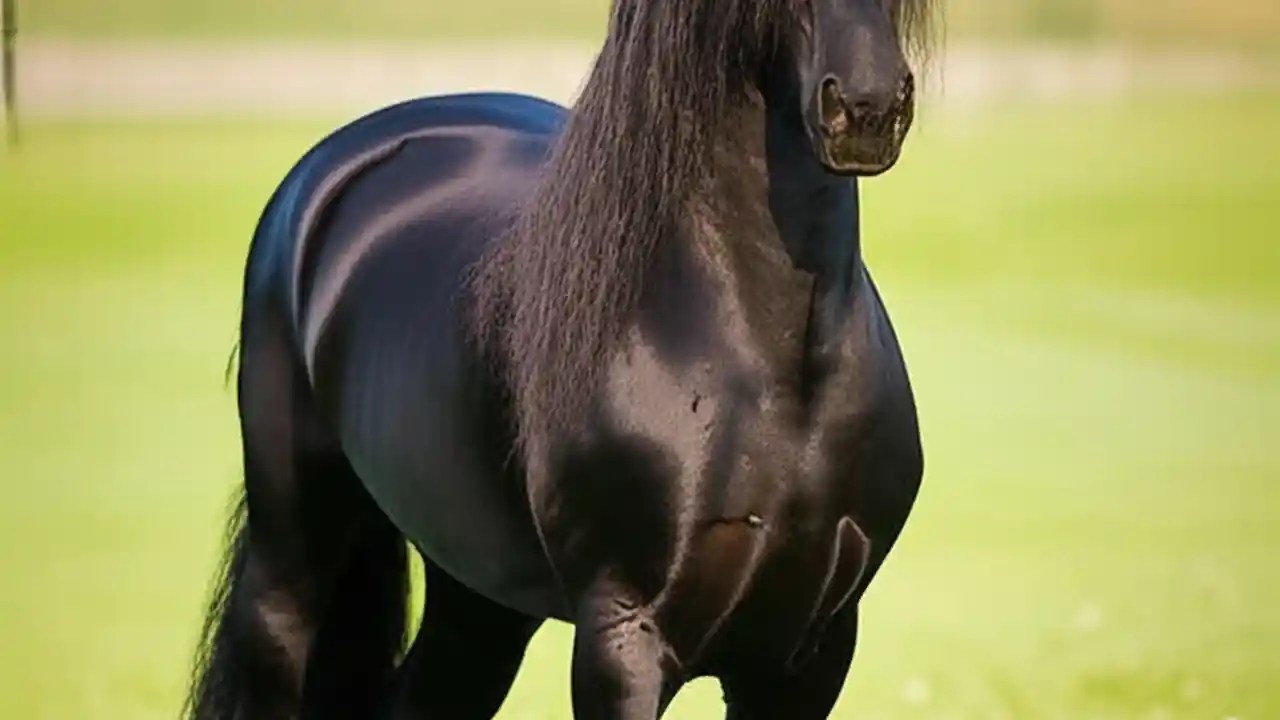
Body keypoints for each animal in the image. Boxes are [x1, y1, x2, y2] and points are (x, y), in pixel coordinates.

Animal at [186, 0, 935, 717]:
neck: (771, 376)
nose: (866, 109)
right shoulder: (624, 638)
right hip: (292, 564)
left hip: (479, 599)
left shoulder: (809, 653)